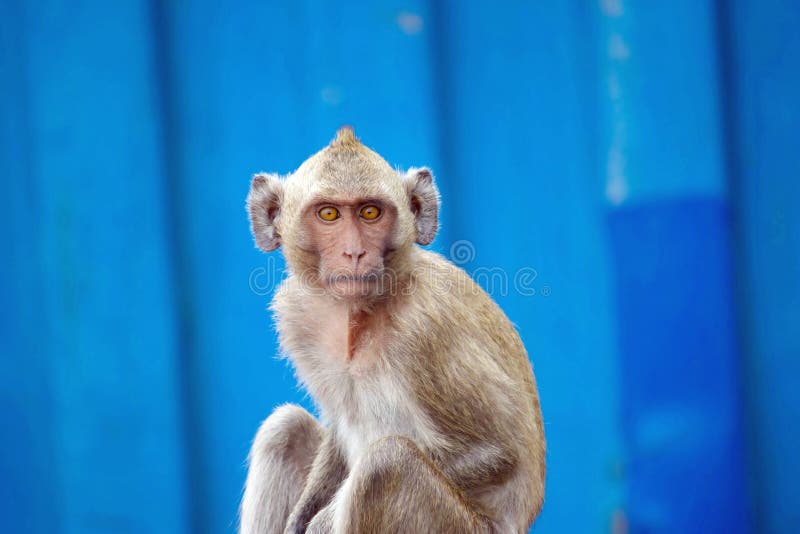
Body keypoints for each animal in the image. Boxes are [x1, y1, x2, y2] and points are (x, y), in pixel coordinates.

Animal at [240, 127, 545, 534]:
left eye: (370, 212)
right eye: (328, 214)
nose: (354, 253)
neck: (362, 315)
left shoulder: (428, 327)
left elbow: (497, 453)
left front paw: (320, 522)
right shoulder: (297, 314)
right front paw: (302, 518)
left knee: (387, 463)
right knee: (285, 429)